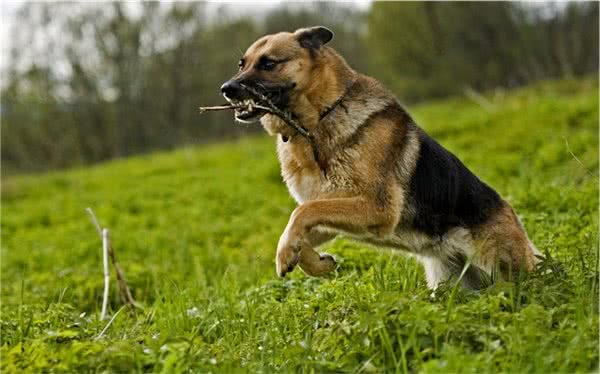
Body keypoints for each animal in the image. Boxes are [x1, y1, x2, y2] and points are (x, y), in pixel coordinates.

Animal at [223, 26, 540, 290]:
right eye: (242, 64)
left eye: (268, 63)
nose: (226, 89)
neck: (317, 123)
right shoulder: (332, 210)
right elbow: (301, 225)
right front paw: (313, 262)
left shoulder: (376, 207)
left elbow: (300, 213)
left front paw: (287, 254)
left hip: (505, 267)